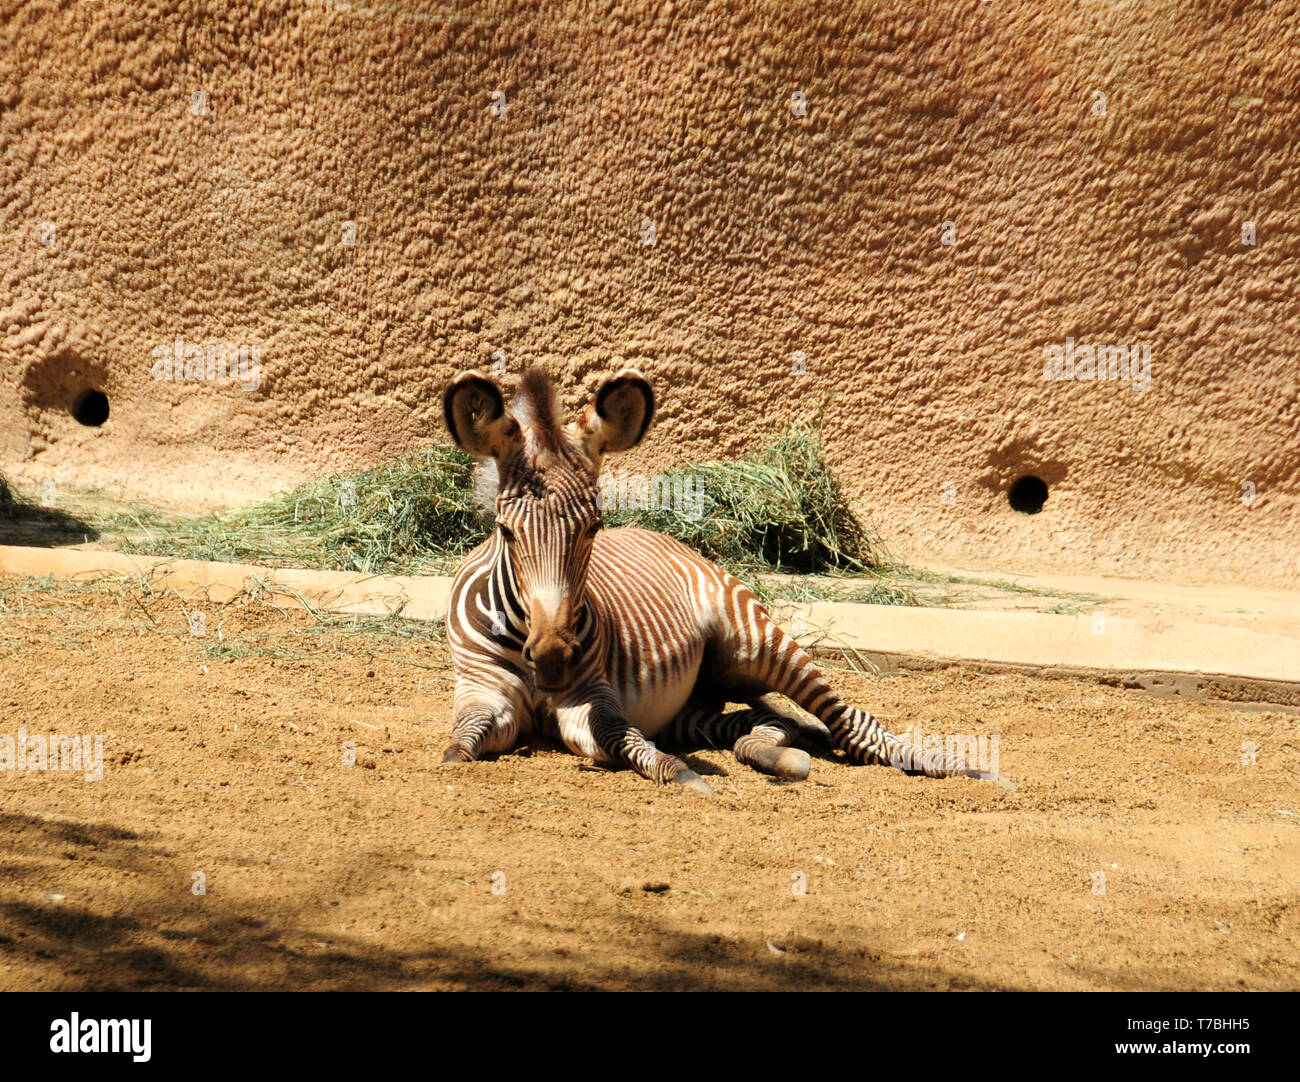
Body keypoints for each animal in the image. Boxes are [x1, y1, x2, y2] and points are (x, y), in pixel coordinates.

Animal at [441, 368, 1002, 796]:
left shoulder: (592, 694)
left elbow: (622, 738)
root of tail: (667, 538)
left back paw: (959, 767)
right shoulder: (480, 688)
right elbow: (462, 741)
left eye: (594, 527)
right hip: (695, 702)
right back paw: (778, 755)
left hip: (759, 642)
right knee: (774, 723)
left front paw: (683, 775)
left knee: (847, 722)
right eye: (504, 531)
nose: (554, 657)